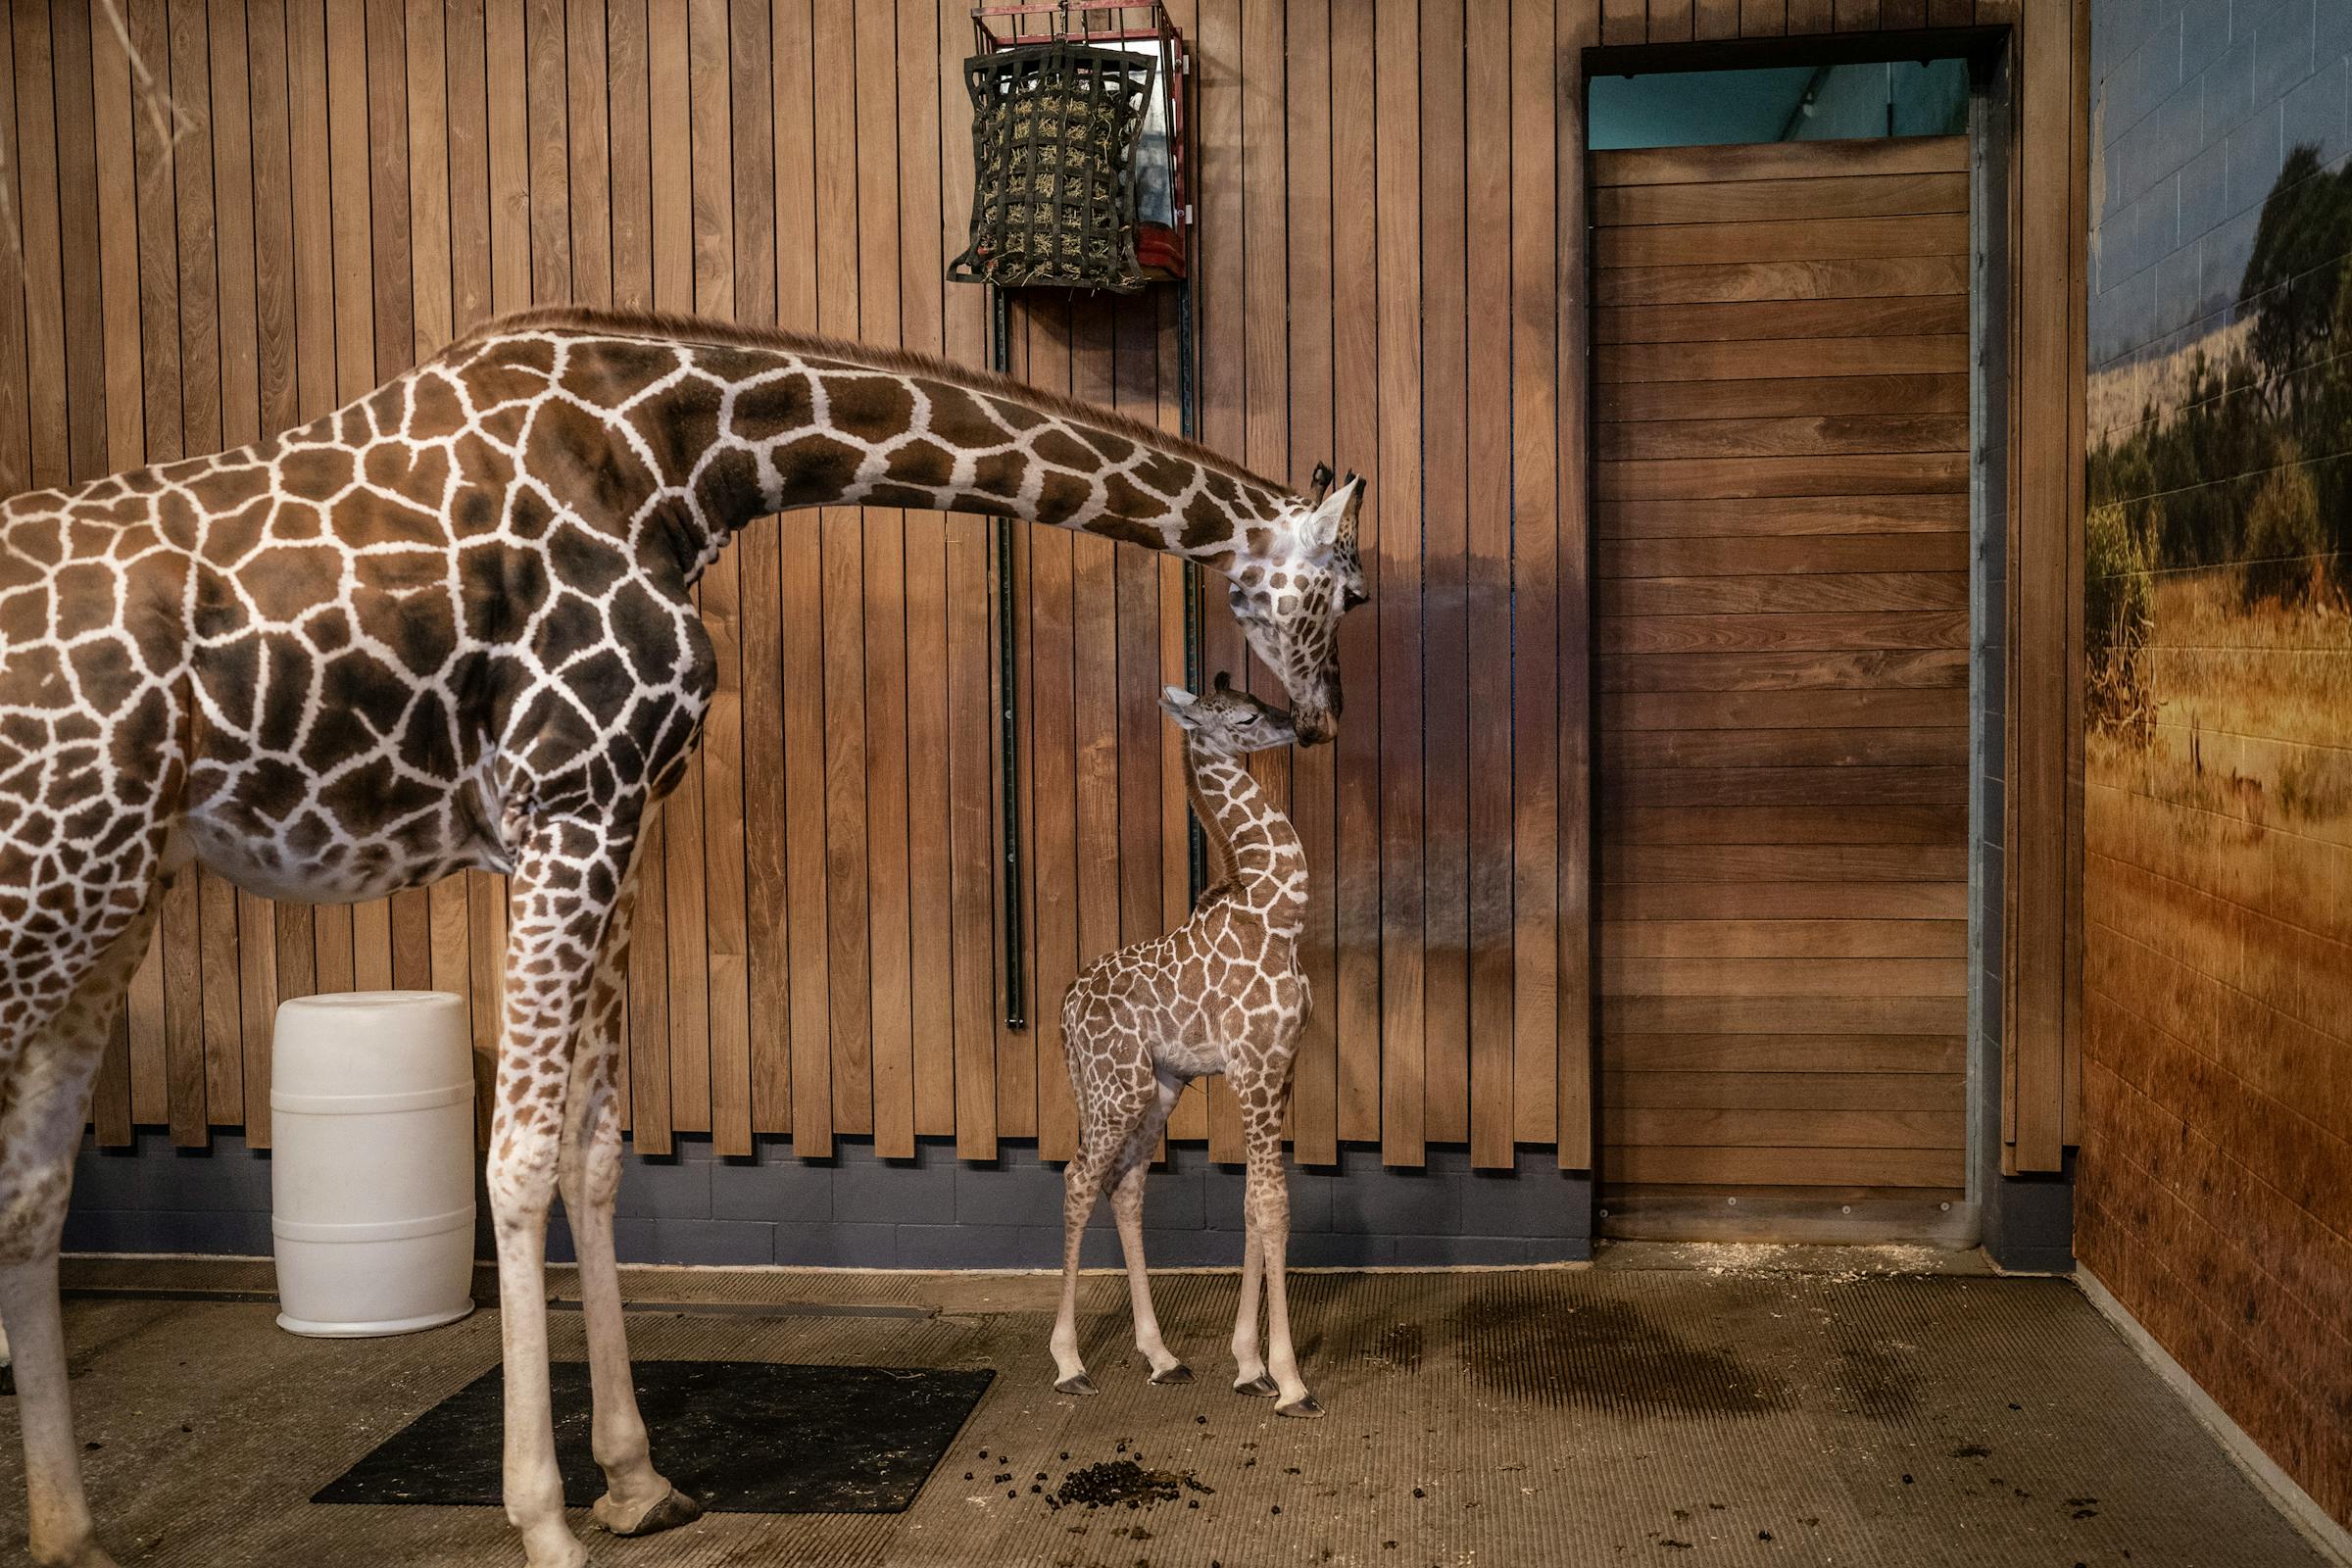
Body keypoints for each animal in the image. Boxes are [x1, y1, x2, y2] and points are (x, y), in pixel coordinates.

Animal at [1048, 669, 1331, 1419]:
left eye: (1259, 698)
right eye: (1242, 716)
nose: (1299, 725)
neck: (1276, 914)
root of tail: (1064, 1009)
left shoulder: (1280, 1069)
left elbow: (1252, 1205)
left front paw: (1249, 1366)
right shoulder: (1255, 1070)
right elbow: (1273, 1207)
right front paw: (1290, 1382)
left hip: (1160, 1087)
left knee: (1125, 1185)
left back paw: (1163, 1357)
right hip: (1117, 1086)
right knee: (1079, 1179)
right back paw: (1069, 1363)